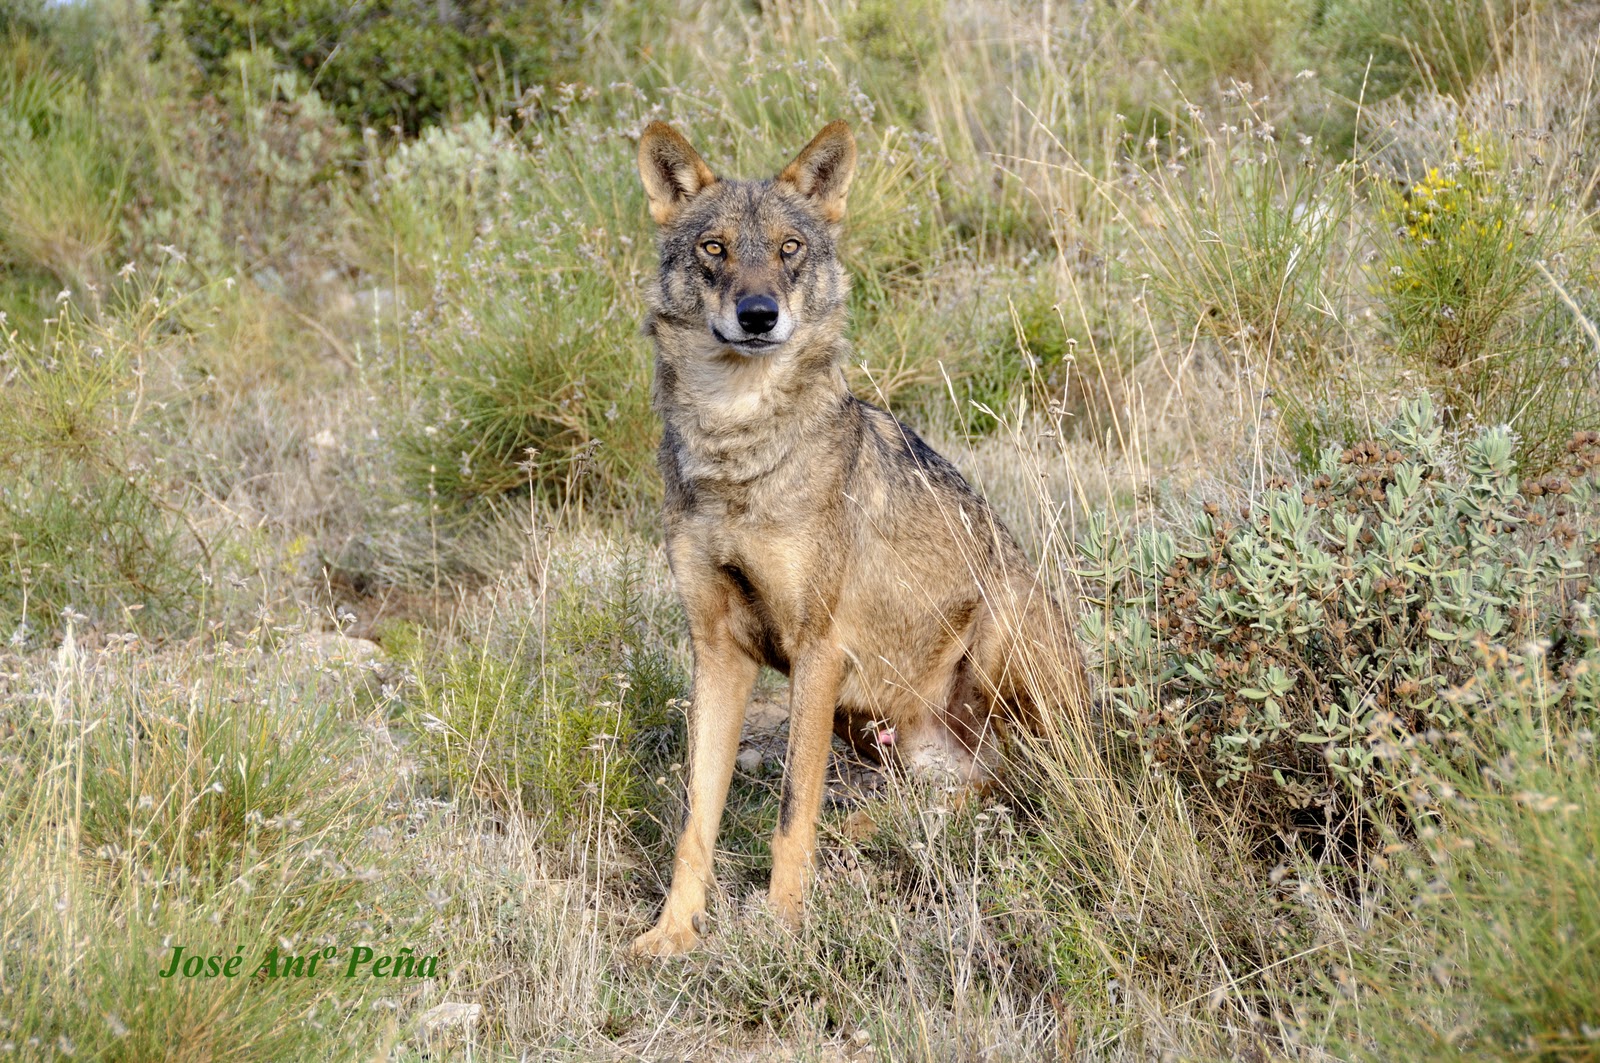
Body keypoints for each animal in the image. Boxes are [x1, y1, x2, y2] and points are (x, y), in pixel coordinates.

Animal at [631, 119, 1088, 957]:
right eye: (714, 247)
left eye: (789, 248)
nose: (757, 314)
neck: (738, 449)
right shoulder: (717, 650)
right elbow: (696, 820)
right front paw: (670, 934)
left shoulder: (817, 649)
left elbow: (790, 814)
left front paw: (781, 932)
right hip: (870, 721)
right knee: (964, 795)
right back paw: (877, 827)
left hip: (993, 642)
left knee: (1031, 787)